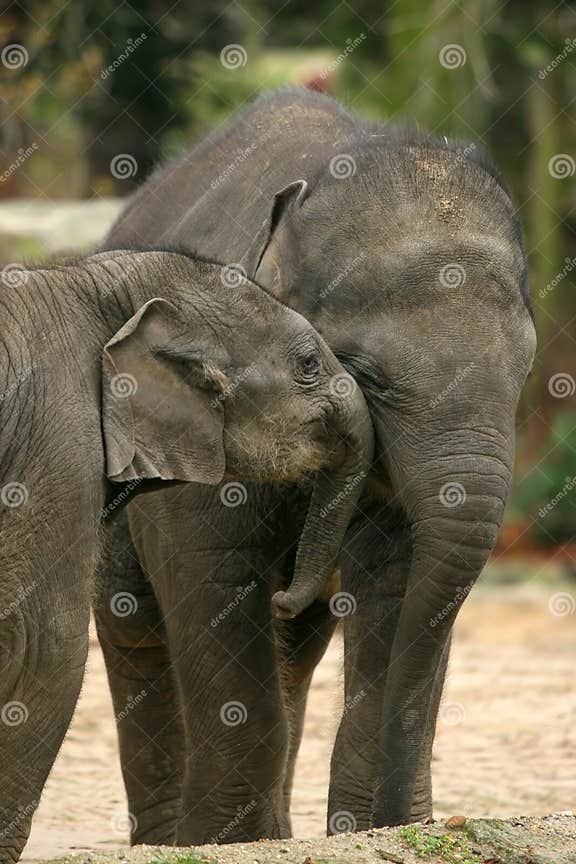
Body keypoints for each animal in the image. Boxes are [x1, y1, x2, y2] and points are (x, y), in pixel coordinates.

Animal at [100, 87, 536, 839]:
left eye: (527, 369)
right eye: (366, 375)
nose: (415, 826)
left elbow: (394, 581)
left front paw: (359, 831)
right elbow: (213, 576)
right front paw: (227, 843)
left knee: (297, 650)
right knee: (133, 628)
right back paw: (167, 840)